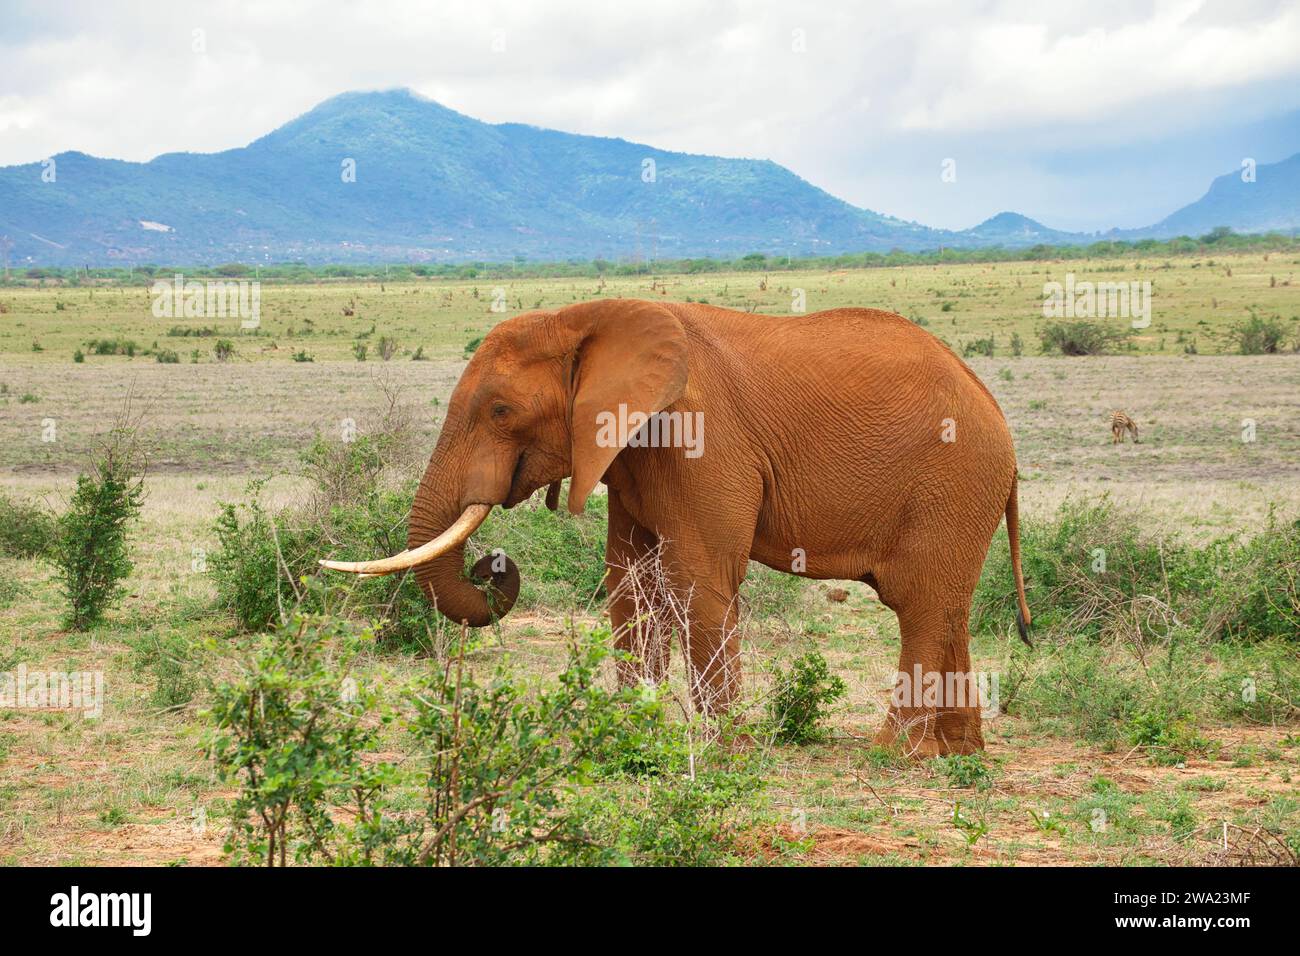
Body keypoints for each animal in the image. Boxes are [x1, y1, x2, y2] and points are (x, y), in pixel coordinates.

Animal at [321, 298, 1031, 756]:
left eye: (499, 410)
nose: (490, 562)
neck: (590, 317)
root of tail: (997, 413)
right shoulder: (630, 449)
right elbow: (629, 582)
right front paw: (633, 732)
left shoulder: (699, 438)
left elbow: (697, 577)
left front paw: (724, 753)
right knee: (948, 605)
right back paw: (955, 754)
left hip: (952, 481)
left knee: (919, 603)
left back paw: (892, 754)